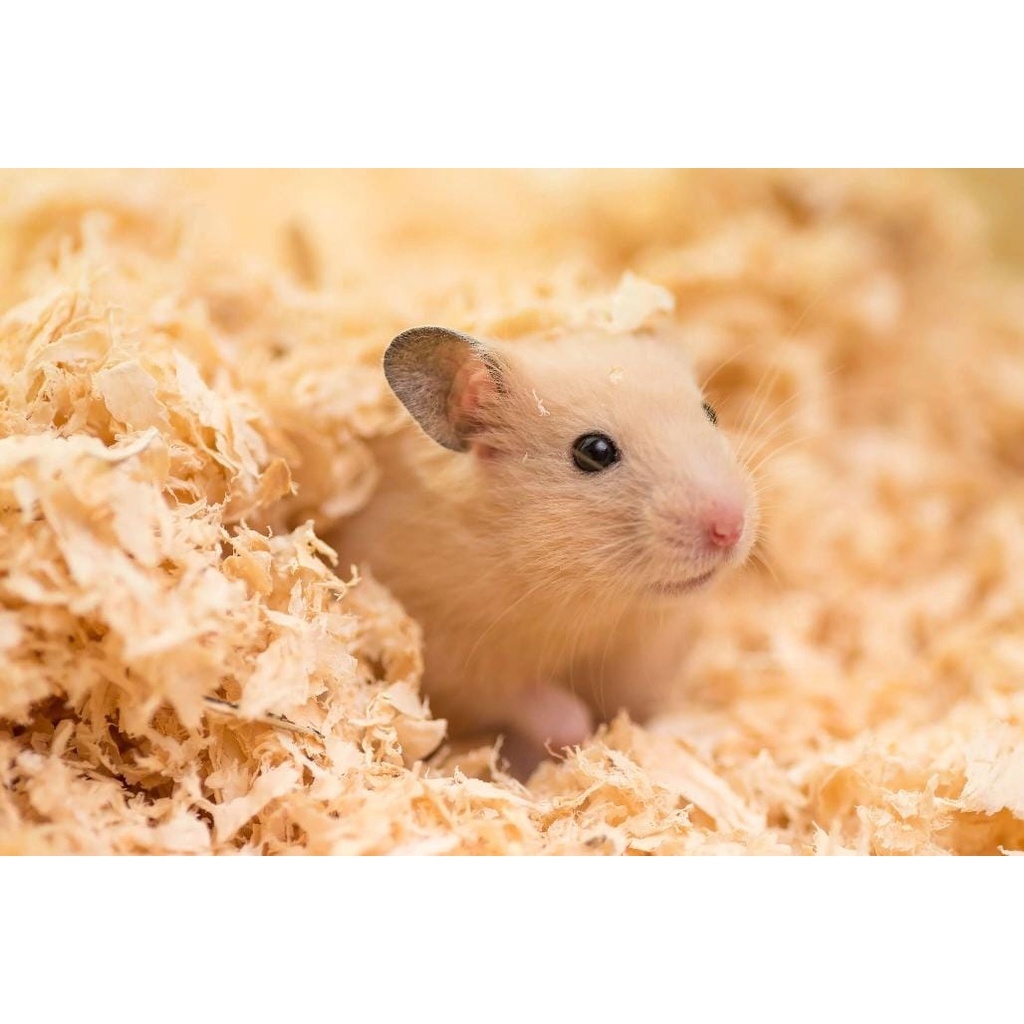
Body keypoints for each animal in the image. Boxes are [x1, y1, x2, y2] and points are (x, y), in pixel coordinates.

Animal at [333, 326, 758, 771]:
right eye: (594, 451)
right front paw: (574, 736)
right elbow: (533, 703)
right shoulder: (445, 651)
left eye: (710, 413)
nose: (730, 528)